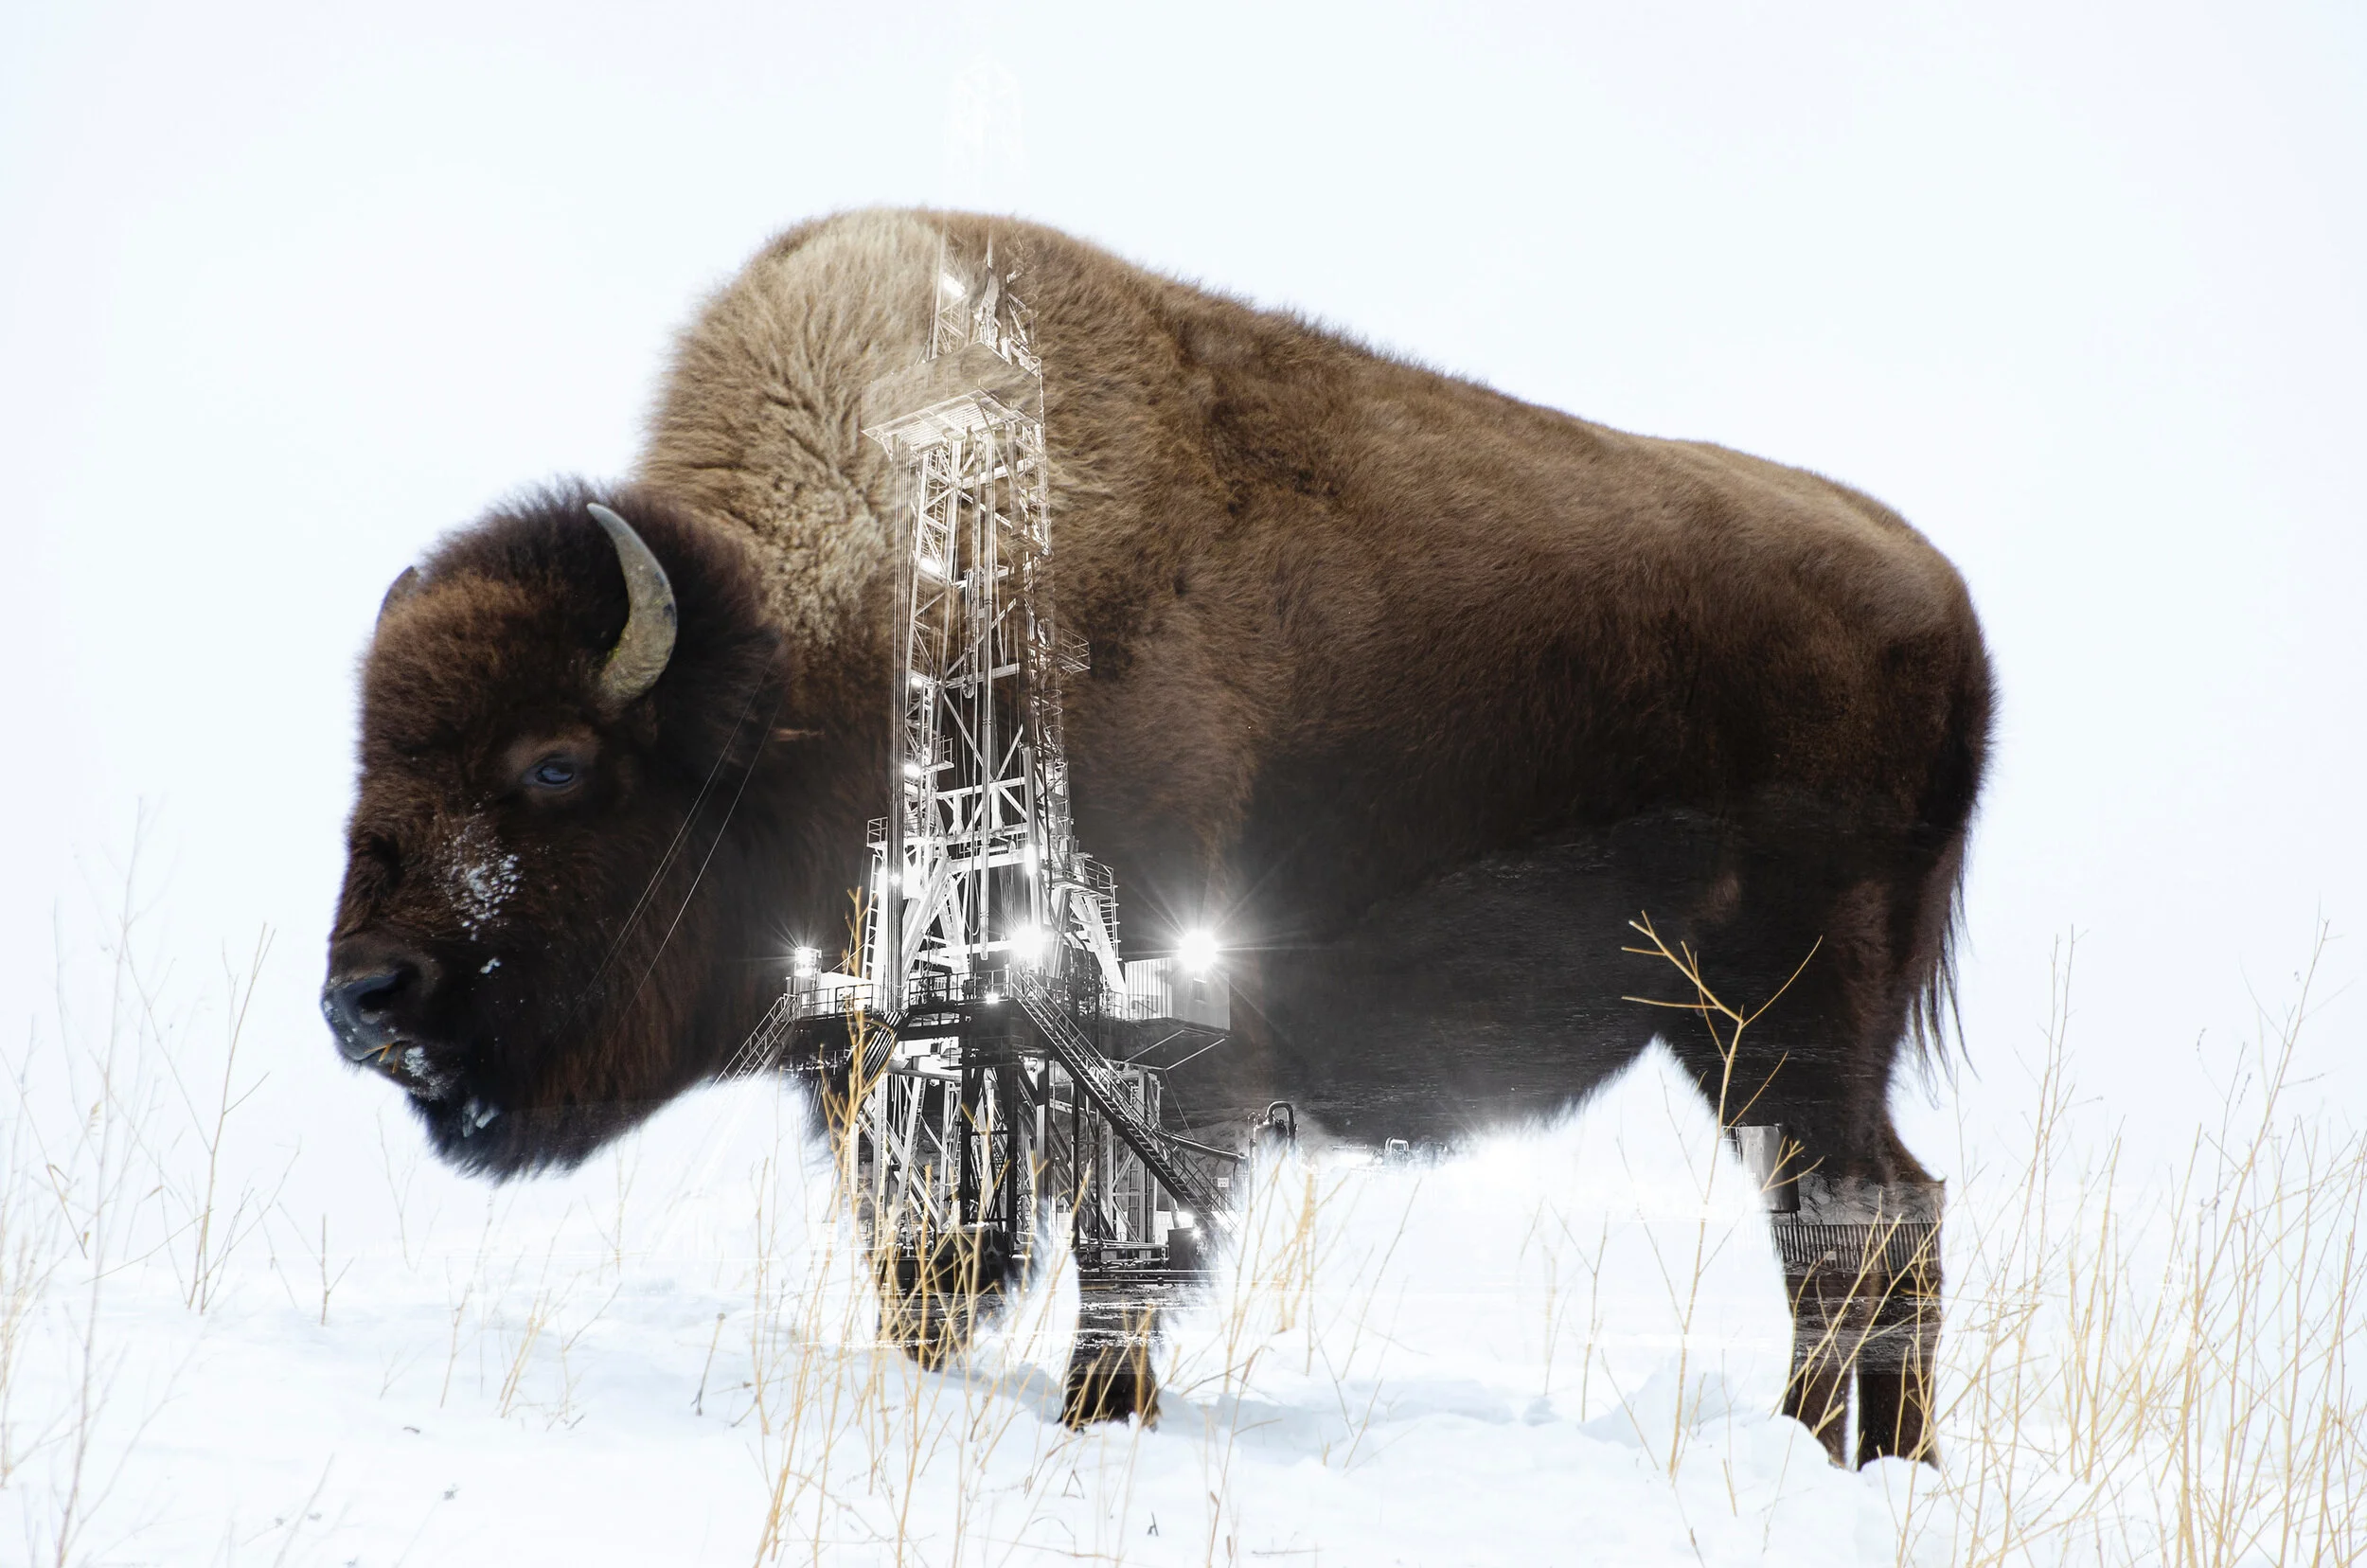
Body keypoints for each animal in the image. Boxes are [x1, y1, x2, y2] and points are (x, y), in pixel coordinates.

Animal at [325, 209, 1991, 1465]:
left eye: (552, 764)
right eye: (371, 756)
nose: (363, 998)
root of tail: (1940, 591)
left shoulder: (1149, 1058)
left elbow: (1121, 1259)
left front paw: (1097, 1424)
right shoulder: (910, 1075)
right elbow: (931, 1264)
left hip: (1790, 1016)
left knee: (1863, 1219)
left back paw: (1849, 1460)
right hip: (1735, 1037)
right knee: (1850, 1224)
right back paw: (1831, 1455)